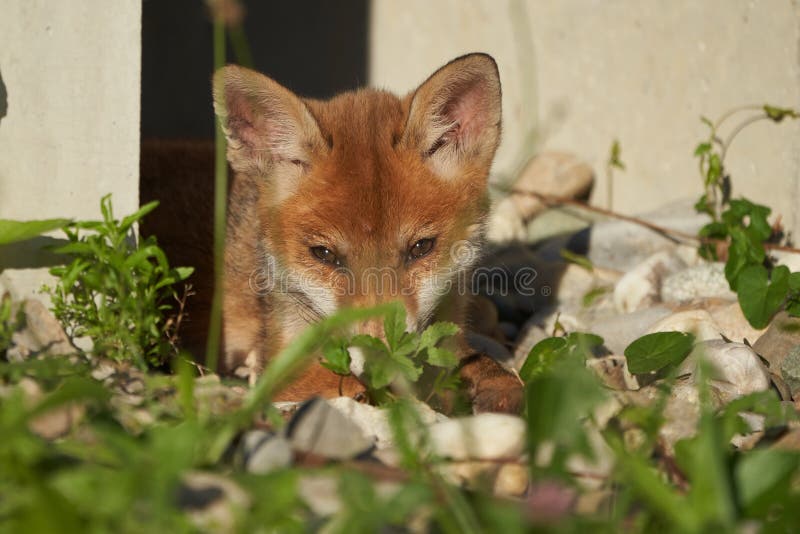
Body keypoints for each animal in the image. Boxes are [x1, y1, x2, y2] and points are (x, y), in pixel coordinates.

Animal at [142, 53, 523, 413]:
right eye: (324, 254)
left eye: (421, 247)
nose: (382, 355)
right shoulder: (277, 366)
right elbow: (354, 383)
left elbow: (481, 364)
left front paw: (501, 390)